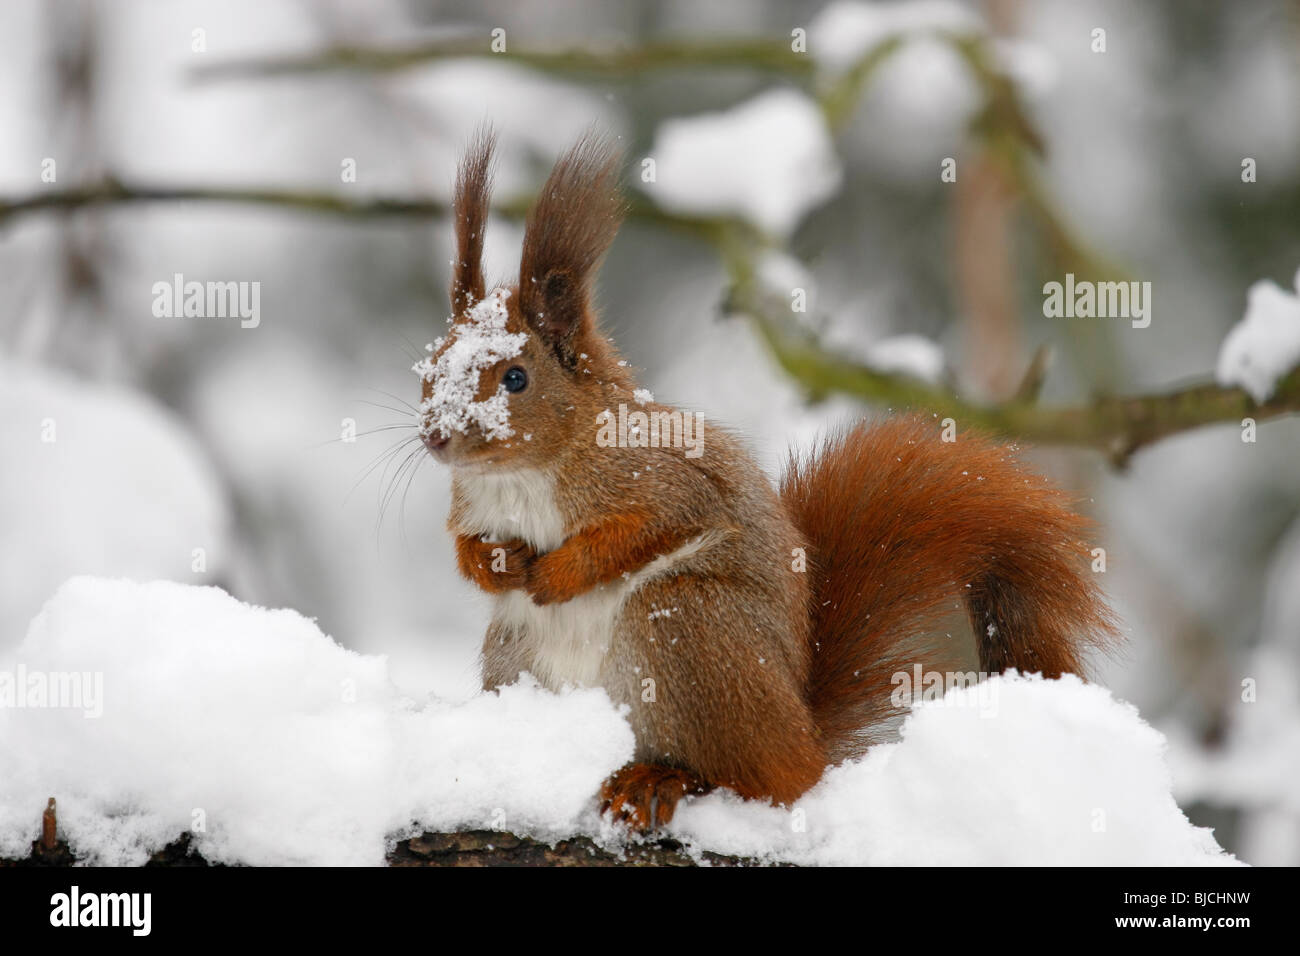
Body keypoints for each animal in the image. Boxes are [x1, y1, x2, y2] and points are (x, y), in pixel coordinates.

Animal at [415, 129, 1118, 831]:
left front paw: (560, 573)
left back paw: (661, 775)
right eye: (431, 367)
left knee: (750, 778)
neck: (522, 473)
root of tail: (801, 736)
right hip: (515, 653)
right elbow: (463, 546)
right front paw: (495, 565)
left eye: (515, 378)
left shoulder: (662, 480)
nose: (437, 437)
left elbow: (651, 526)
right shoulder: (470, 505)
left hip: (686, 625)